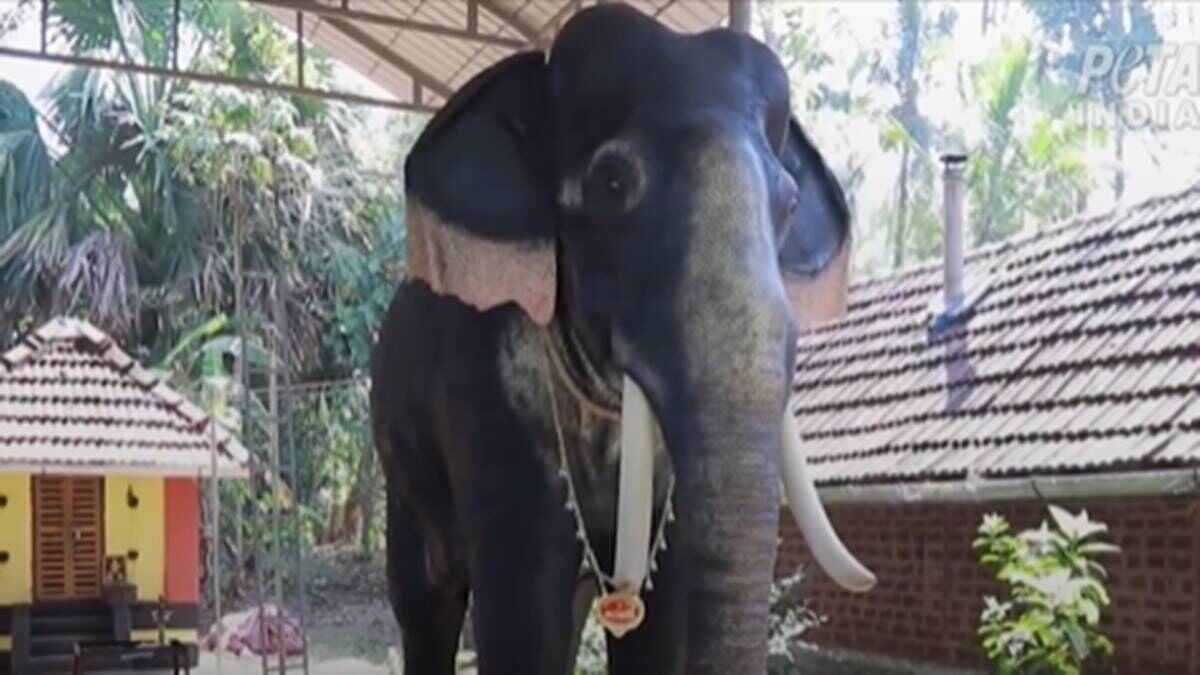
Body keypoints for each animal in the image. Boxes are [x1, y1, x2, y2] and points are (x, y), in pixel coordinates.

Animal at [370, 4, 874, 674]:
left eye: (790, 206)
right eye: (611, 184)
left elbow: (660, 621)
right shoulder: (486, 398)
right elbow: (524, 617)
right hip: (398, 462)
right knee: (426, 601)